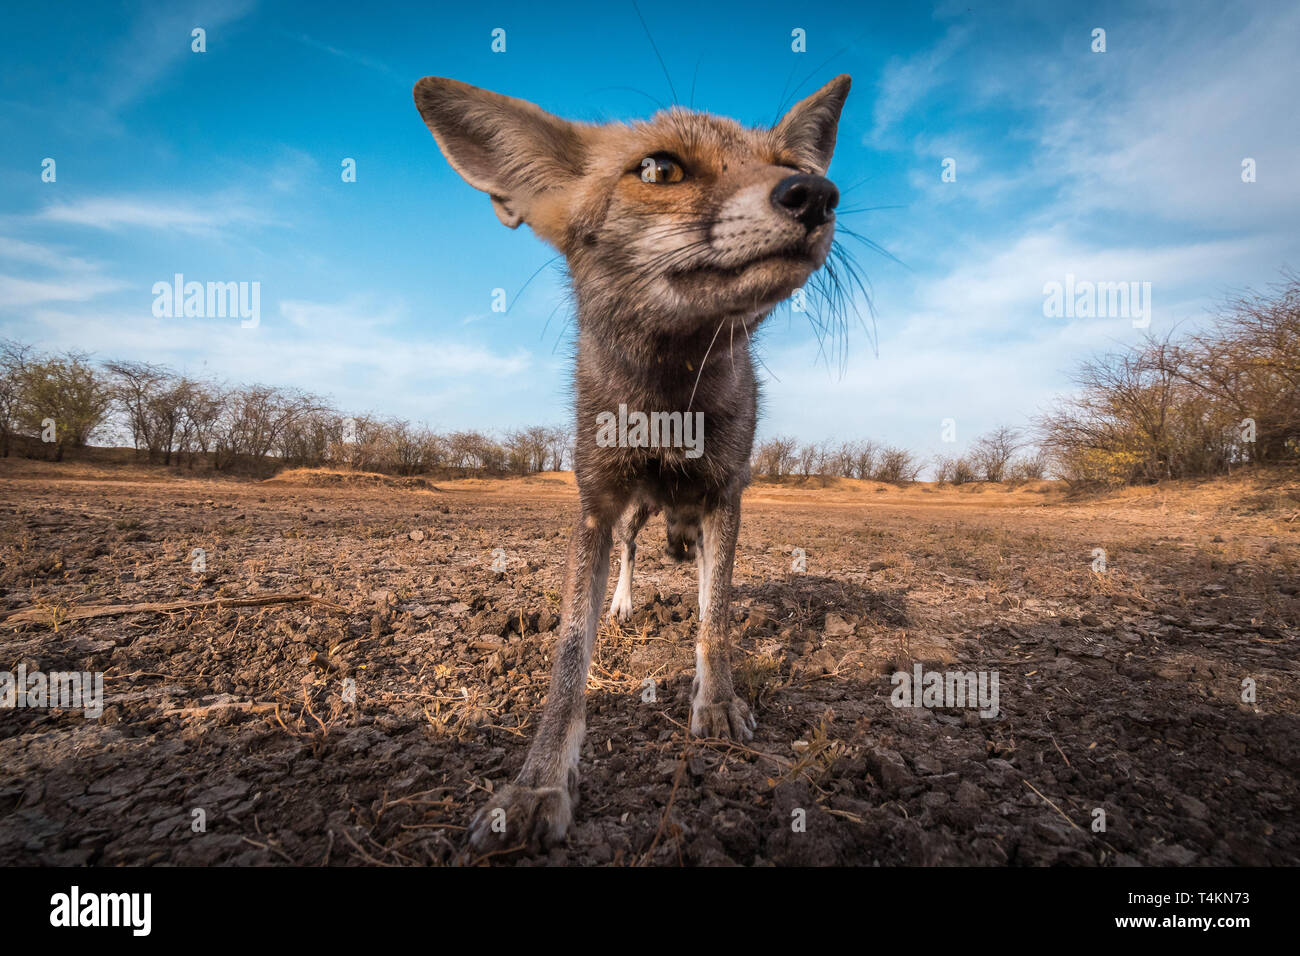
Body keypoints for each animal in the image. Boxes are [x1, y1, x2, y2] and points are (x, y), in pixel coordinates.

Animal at [413, 73, 851, 851]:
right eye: (659, 170)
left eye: (784, 163)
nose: (815, 193)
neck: (668, 402)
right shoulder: (596, 503)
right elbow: (567, 659)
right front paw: (540, 782)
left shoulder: (725, 495)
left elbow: (717, 618)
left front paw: (717, 703)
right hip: (634, 510)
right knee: (632, 549)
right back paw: (624, 599)